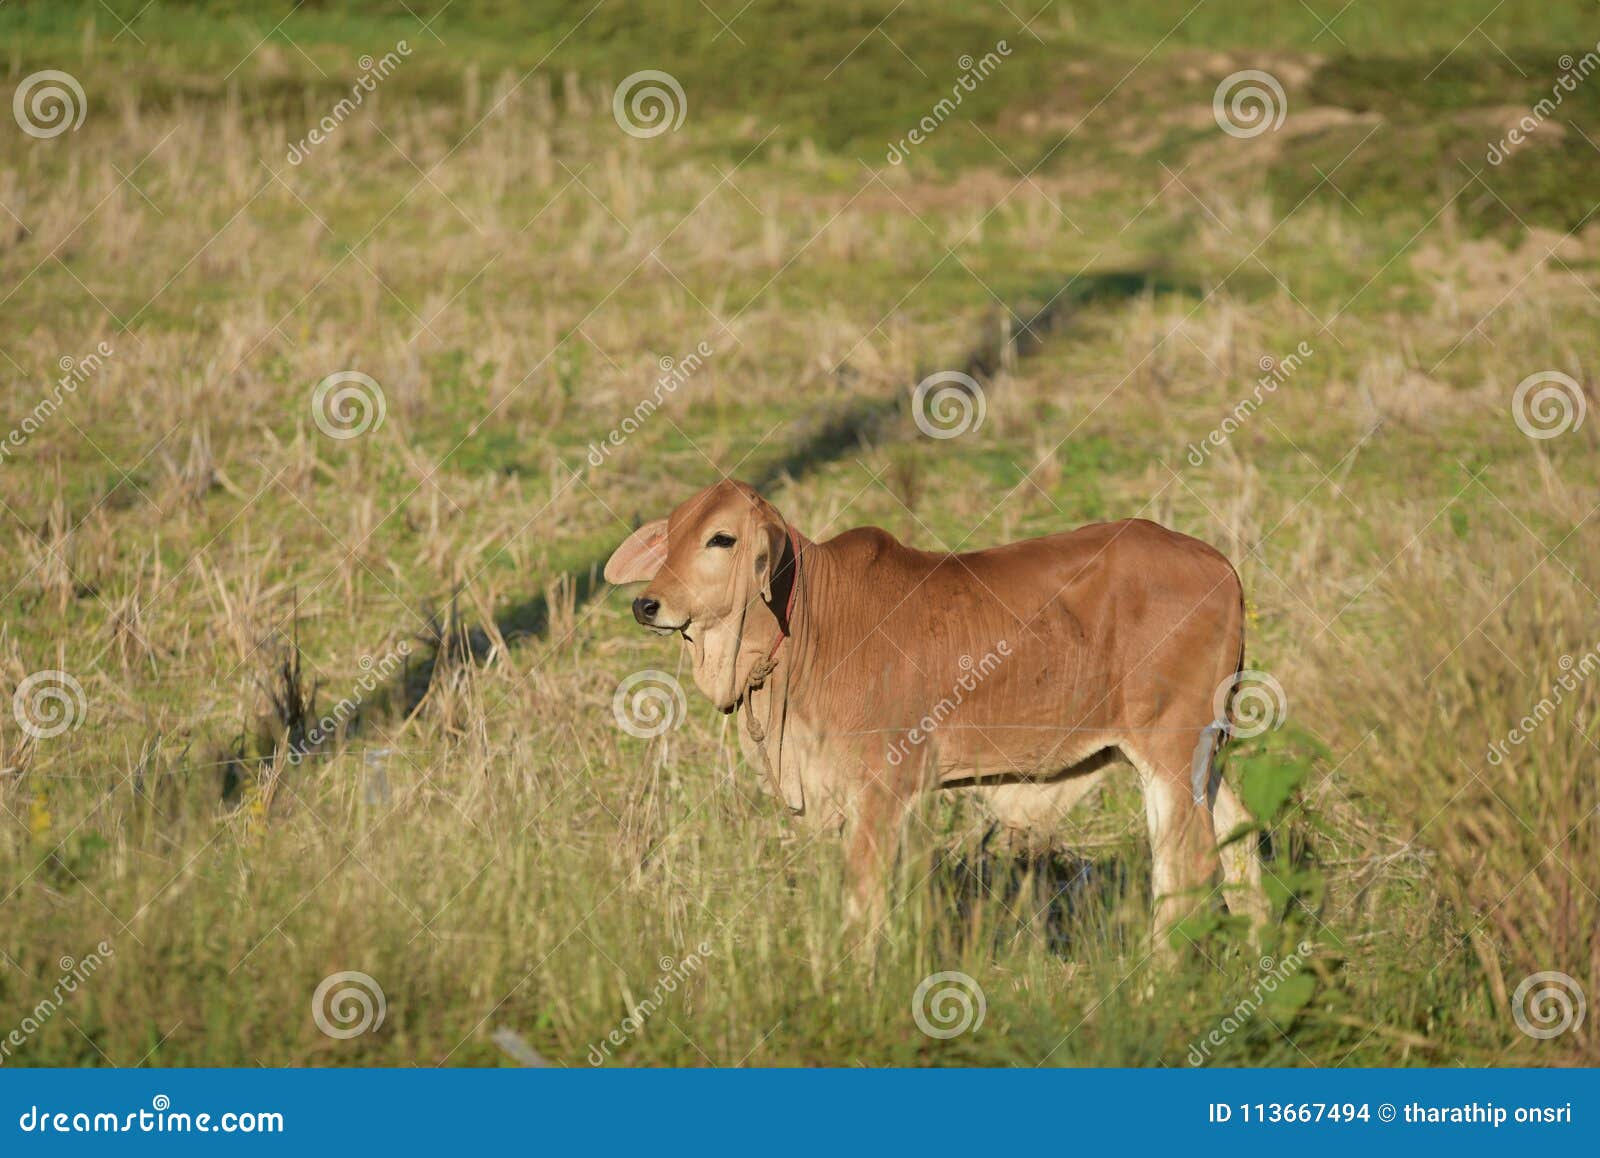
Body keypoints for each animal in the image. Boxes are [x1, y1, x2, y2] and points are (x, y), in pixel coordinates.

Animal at [604, 479, 1270, 952]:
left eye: (721, 538)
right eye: (671, 535)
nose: (646, 604)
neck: (810, 620)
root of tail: (1220, 565)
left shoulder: (882, 786)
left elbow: (863, 903)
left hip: (1169, 752)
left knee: (1186, 868)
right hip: (1203, 759)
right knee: (1238, 840)